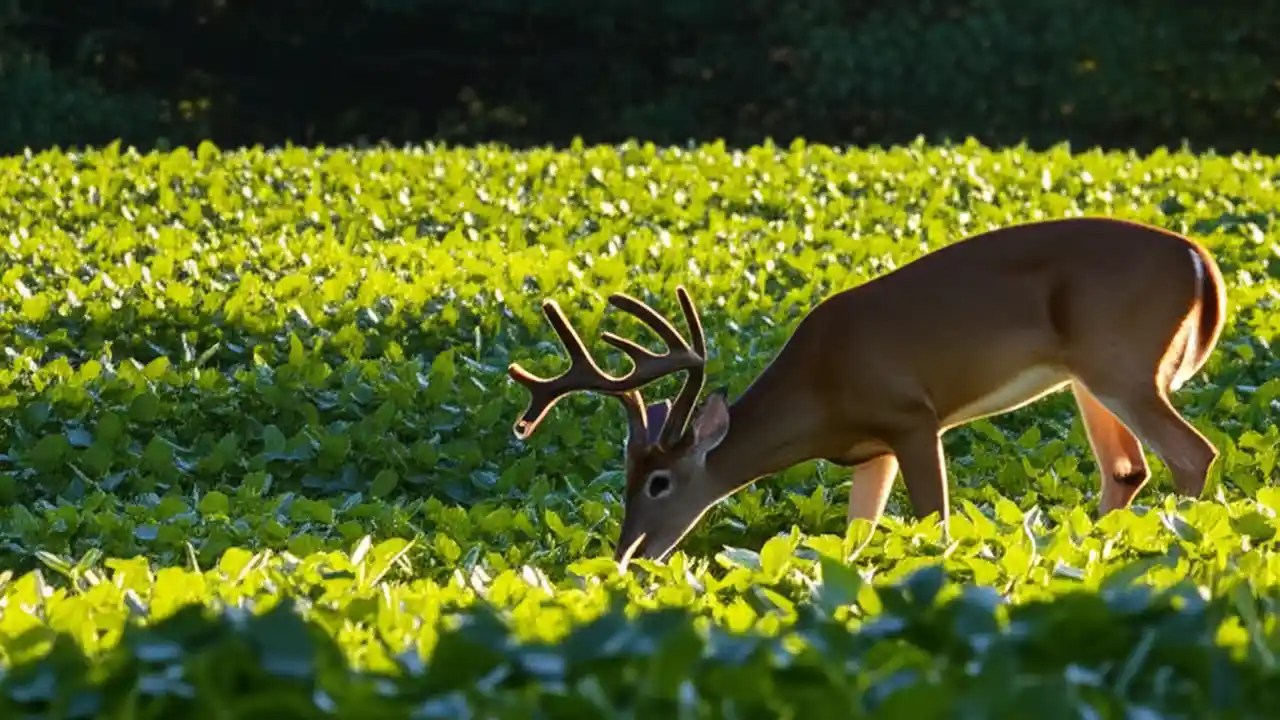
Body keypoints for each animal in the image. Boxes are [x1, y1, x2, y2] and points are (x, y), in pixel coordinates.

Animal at [506, 217, 1228, 567]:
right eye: (624, 476)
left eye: (659, 483)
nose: (627, 555)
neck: (821, 392)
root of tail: (1201, 259)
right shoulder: (870, 450)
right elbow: (857, 537)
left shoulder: (912, 416)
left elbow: (935, 521)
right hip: (1089, 378)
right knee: (1127, 469)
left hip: (1123, 364)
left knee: (1192, 453)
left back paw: (1180, 546)